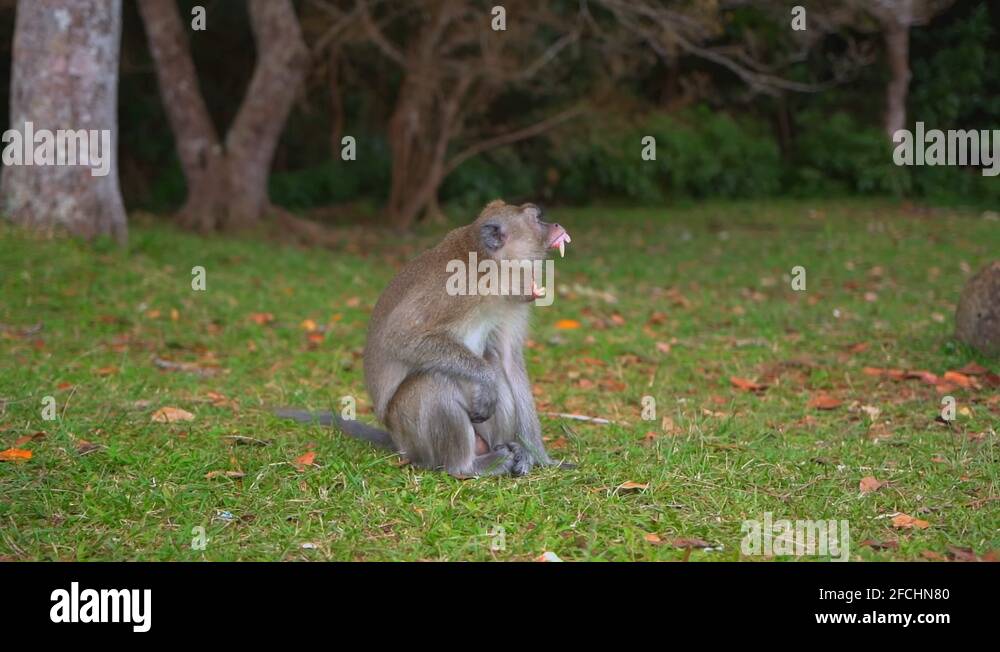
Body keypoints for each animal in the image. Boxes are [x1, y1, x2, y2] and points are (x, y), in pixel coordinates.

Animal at [277, 199, 572, 477]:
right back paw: (466, 466)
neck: (491, 273)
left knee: (495, 363)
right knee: (434, 381)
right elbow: (399, 336)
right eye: (538, 218)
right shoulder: (454, 289)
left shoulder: (510, 302)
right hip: (410, 434)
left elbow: (510, 362)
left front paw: (539, 457)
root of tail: (398, 442)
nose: (557, 225)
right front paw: (485, 379)